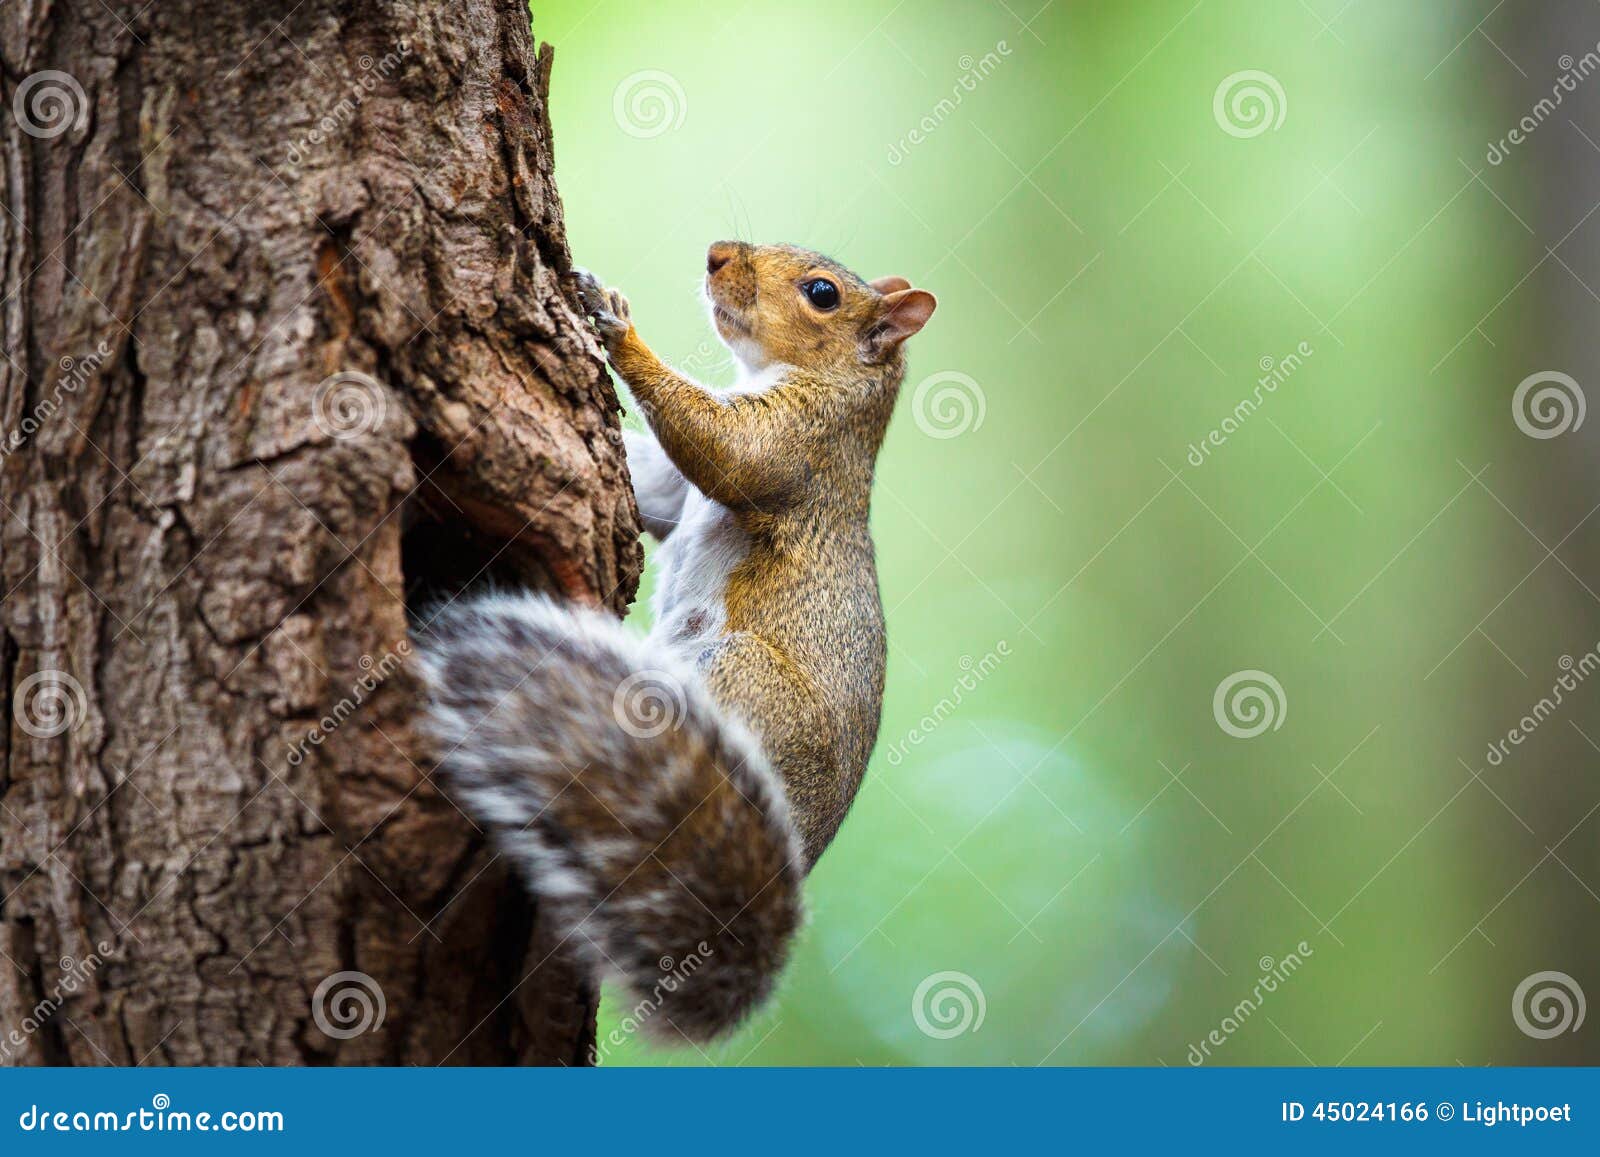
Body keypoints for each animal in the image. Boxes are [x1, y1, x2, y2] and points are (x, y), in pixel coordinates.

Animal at [416, 241, 936, 1042]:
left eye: (822, 293)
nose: (718, 253)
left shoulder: (802, 445)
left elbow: (729, 451)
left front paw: (615, 324)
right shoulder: (676, 491)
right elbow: (655, 487)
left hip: (743, 679)